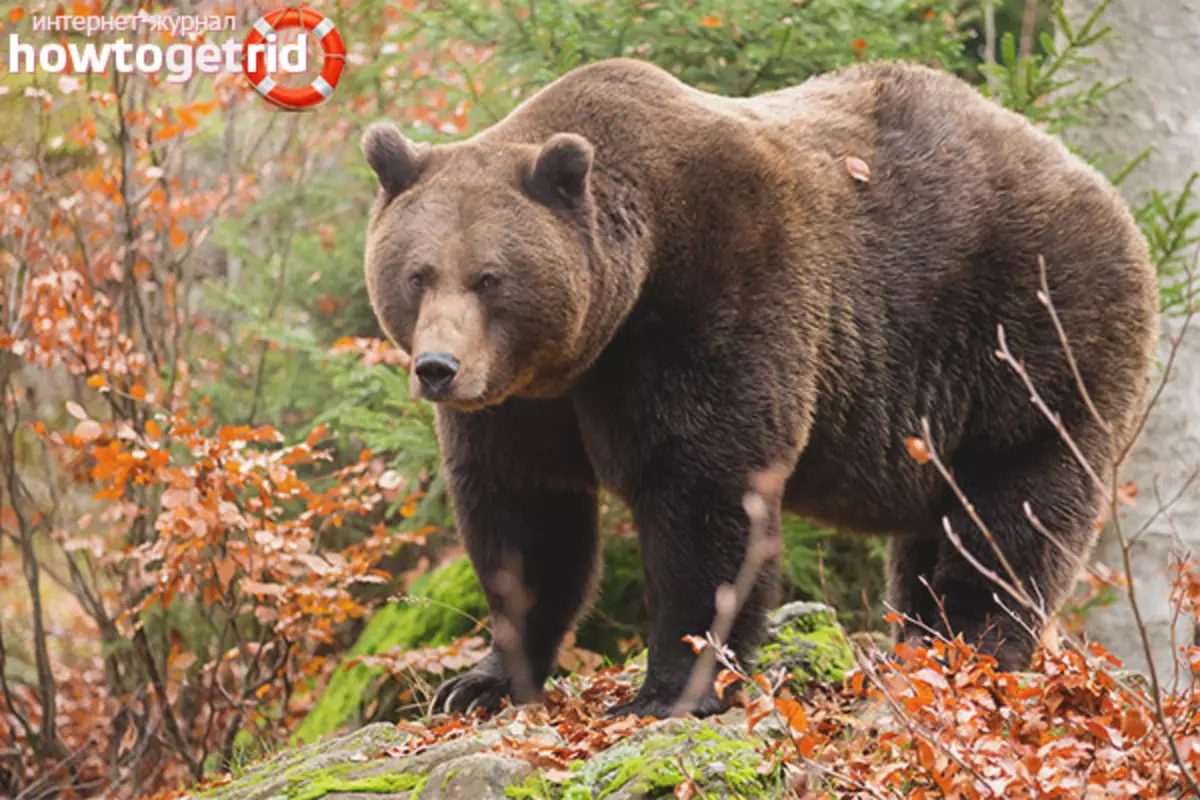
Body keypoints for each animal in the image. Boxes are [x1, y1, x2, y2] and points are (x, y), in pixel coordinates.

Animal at [360, 57, 1156, 719]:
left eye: (489, 278)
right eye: (417, 273)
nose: (439, 367)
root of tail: (1103, 189)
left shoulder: (717, 296)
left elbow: (705, 492)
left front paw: (669, 689)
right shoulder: (527, 400)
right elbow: (524, 517)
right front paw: (481, 680)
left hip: (1030, 327)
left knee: (1015, 500)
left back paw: (975, 651)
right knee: (936, 526)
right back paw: (920, 644)